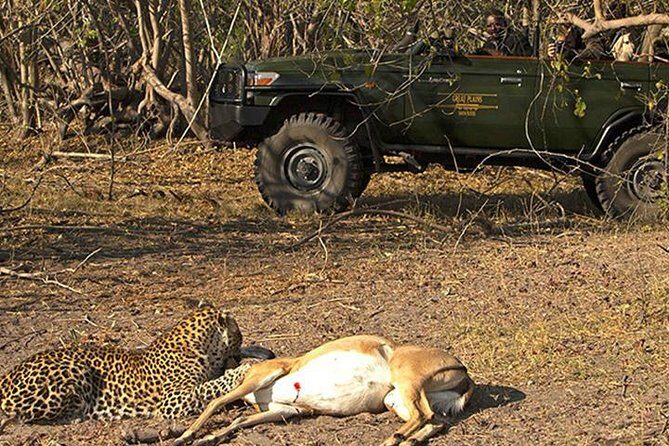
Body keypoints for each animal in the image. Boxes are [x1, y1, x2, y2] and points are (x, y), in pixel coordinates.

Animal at [0, 308, 272, 428]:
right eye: (239, 333)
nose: (243, 341)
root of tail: (6, 376)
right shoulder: (173, 401)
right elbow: (209, 387)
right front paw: (241, 370)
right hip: (75, 369)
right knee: (18, 417)